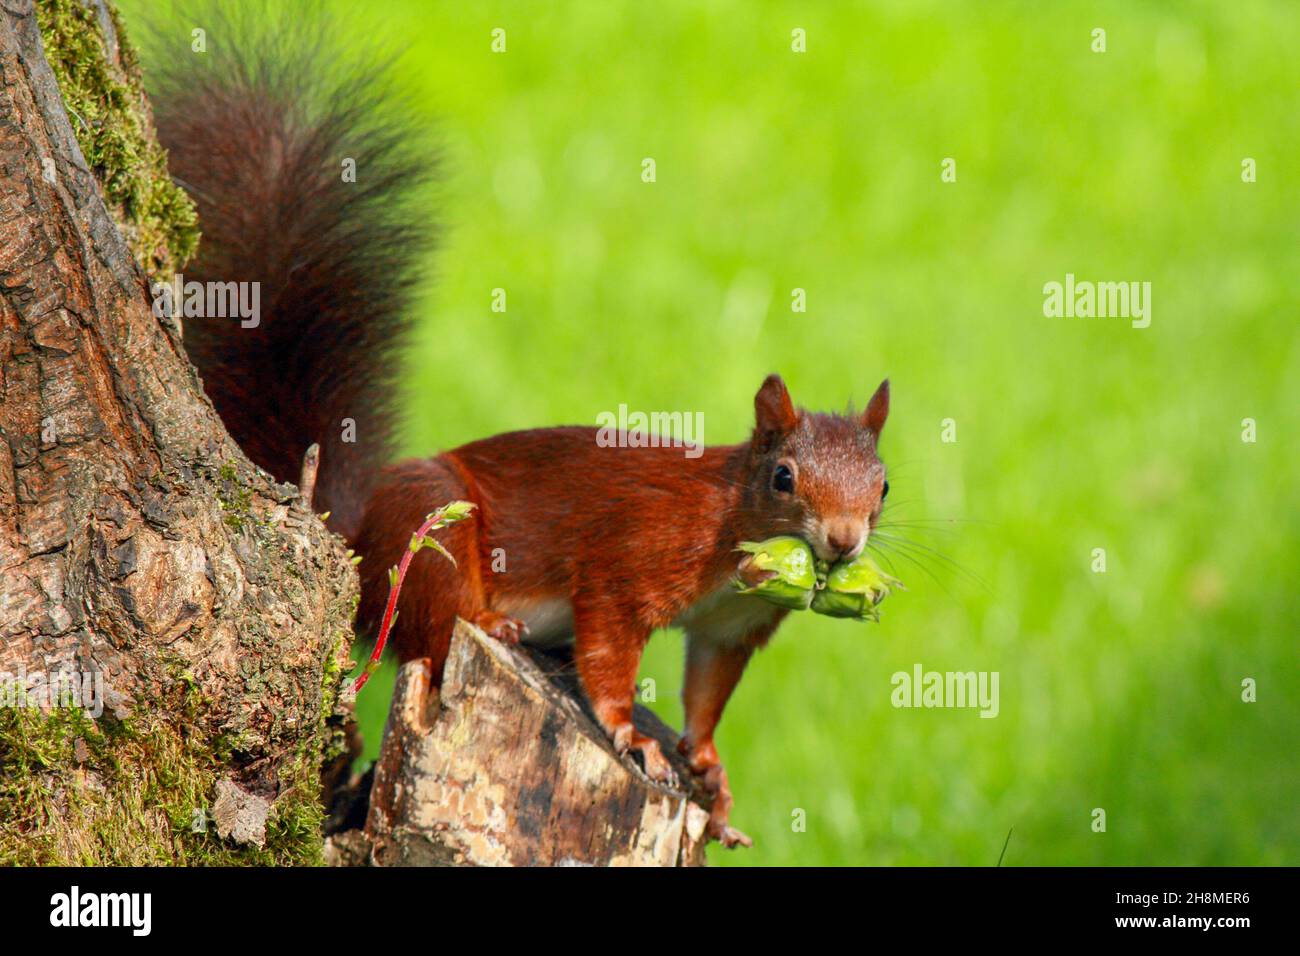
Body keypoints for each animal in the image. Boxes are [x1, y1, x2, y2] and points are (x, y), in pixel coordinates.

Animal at [146, 6, 890, 849]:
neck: (732, 530)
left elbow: (706, 696)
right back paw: (487, 621)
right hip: (428, 527)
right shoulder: (633, 560)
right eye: (784, 477)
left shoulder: (731, 625)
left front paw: (711, 773)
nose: (843, 542)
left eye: (883, 487)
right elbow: (609, 651)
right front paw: (630, 734)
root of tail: (350, 536)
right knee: (431, 624)